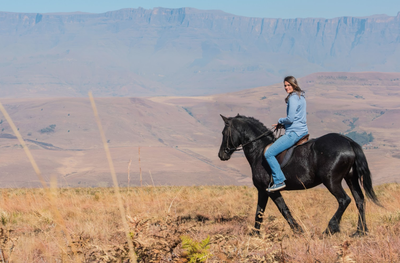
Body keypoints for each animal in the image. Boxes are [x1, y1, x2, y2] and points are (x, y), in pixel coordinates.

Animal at [217, 115, 380, 237]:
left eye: (224, 133)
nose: (221, 155)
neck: (259, 151)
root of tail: (349, 141)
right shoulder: (267, 191)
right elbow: (265, 211)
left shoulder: (267, 190)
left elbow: (275, 210)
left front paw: (295, 231)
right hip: (351, 178)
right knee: (360, 200)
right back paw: (360, 232)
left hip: (331, 181)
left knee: (344, 200)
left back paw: (330, 229)